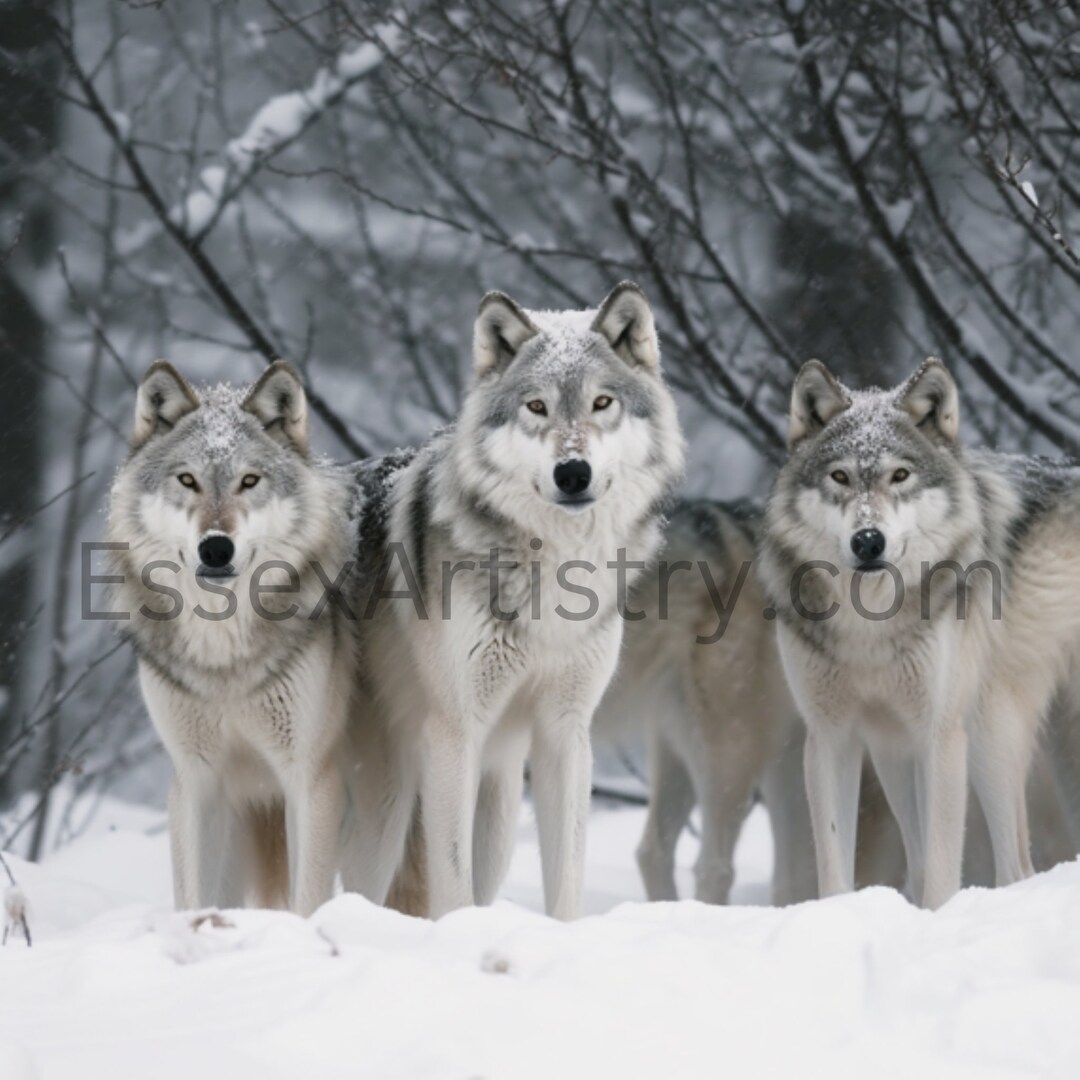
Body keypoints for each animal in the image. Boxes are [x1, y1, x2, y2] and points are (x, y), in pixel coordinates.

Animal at [107, 361, 358, 916]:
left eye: (249, 480)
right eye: (187, 480)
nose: (216, 548)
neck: (222, 654)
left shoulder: (311, 779)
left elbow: (308, 899)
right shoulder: (196, 784)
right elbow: (194, 900)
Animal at [340, 282, 685, 920]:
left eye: (602, 403)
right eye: (537, 407)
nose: (572, 472)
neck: (556, 570)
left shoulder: (566, 734)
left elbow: (566, 878)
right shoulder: (455, 733)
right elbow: (453, 887)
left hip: (497, 815)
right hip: (384, 811)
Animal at [758, 357, 1064, 909]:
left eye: (899, 475)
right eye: (840, 476)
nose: (868, 540)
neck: (870, 625)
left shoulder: (940, 736)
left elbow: (943, 871)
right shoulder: (831, 738)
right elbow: (836, 864)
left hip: (988, 737)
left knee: (1017, 866)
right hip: (896, 755)